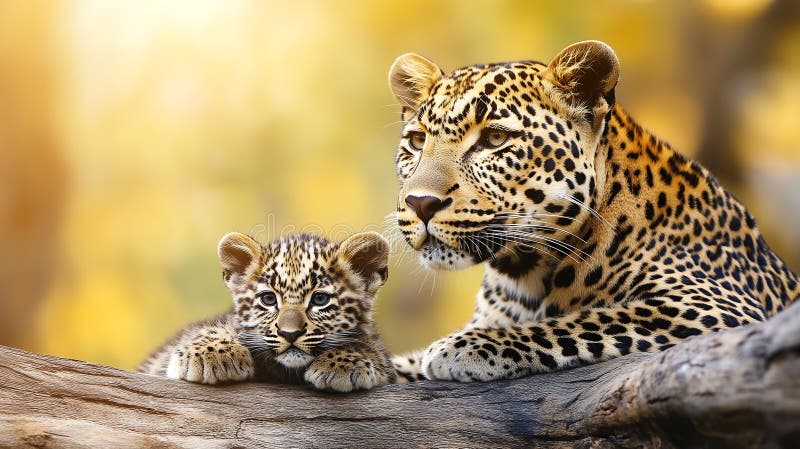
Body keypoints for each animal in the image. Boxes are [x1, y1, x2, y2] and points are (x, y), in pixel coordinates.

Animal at [139, 231, 396, 392]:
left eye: (320, 299)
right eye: (269, 299)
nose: (290, 333)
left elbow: (368, 344)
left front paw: (344, 361)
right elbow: (219, 327)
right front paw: (211, 353)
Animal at [387, 40, 800, 382]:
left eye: (495, 139)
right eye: (417, 141)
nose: (421, 203)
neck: (523, 272)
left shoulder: (716, 307)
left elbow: (584, 320)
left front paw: (467, 345)